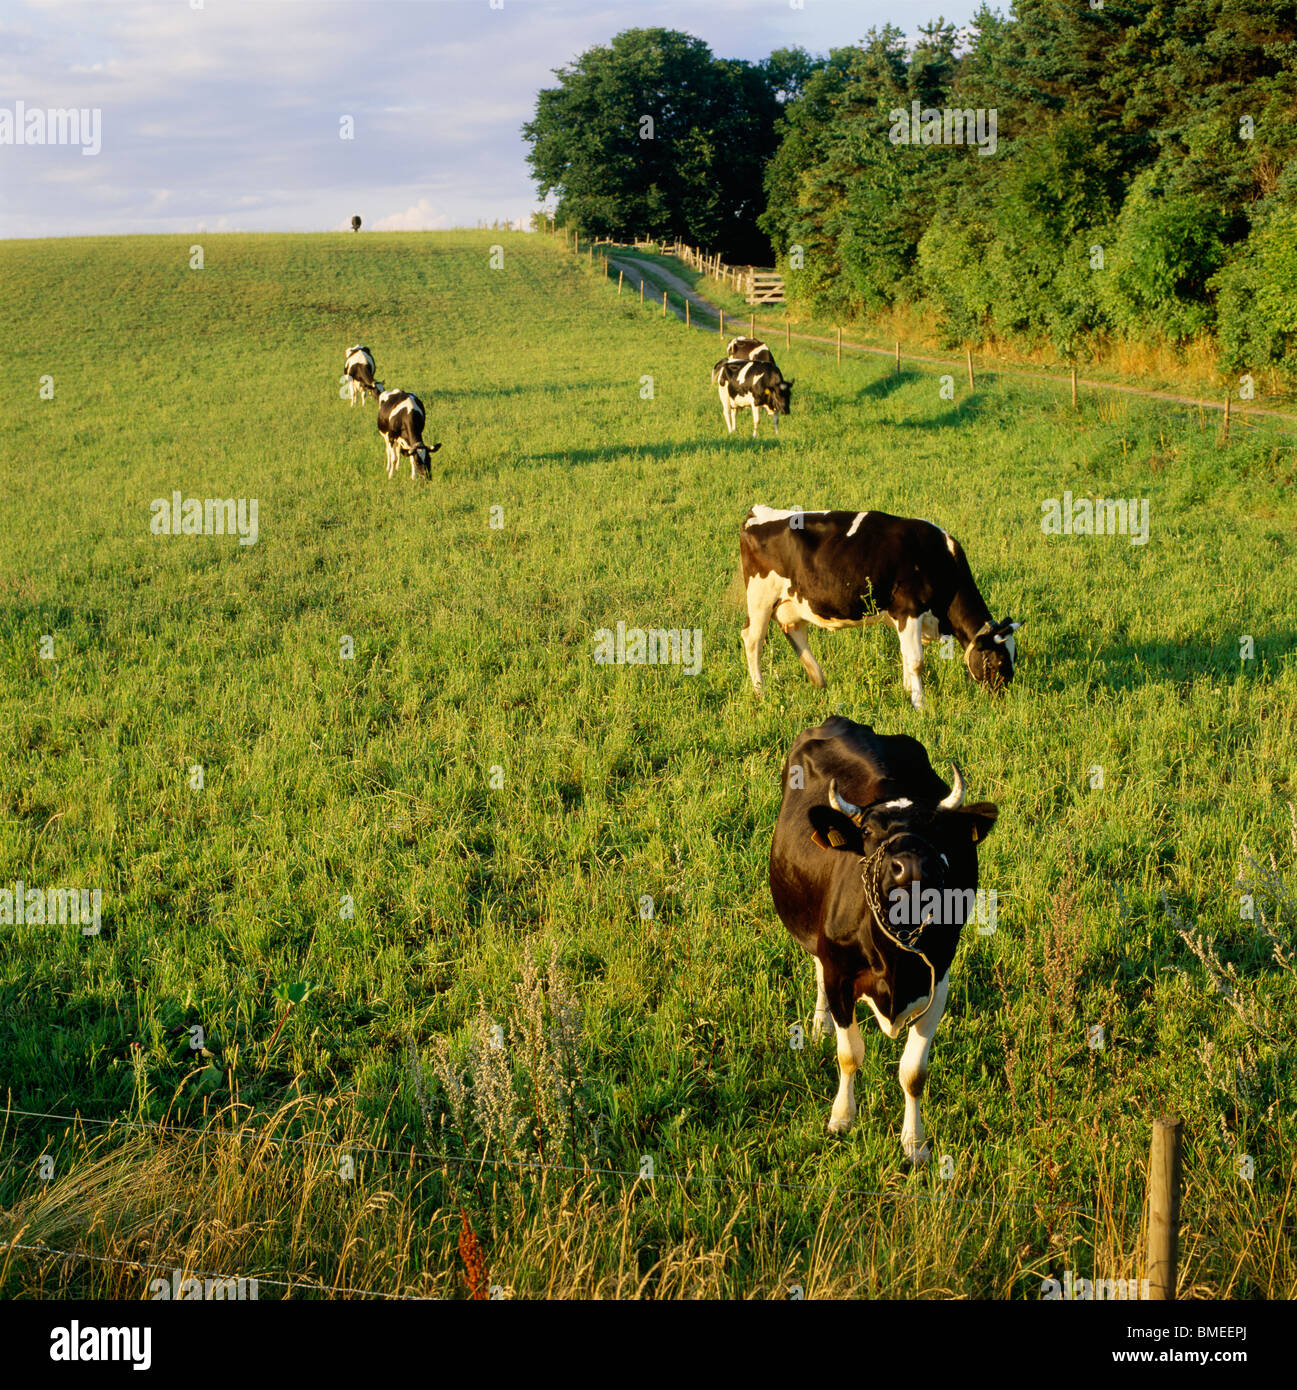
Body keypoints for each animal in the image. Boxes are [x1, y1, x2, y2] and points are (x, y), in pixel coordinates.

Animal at [739, 507, 1022, 709]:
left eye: (1014, 656)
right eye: (997, 660)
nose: (1003, 696)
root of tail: (758, 512)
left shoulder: (904, 618)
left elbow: (906, 656)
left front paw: (908, 691)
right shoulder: (909, 610)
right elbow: (916, 660)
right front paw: (920, 704)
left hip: (791, 603)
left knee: (796, 634)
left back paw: (820, 683)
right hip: (760, 597)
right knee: (753, 640)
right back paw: (760, 691)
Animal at [770, 716, 998, 1161]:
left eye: (937, 831)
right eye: (870, 832)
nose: (910, 865)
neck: (895, 956)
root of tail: (842, 722)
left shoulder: (938, 981)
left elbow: (913, 1072)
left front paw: (915, 1143)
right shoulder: (840, 975)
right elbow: (849, 1055)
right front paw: (842, 1118)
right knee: (816, 967)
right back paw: (820, 1023)